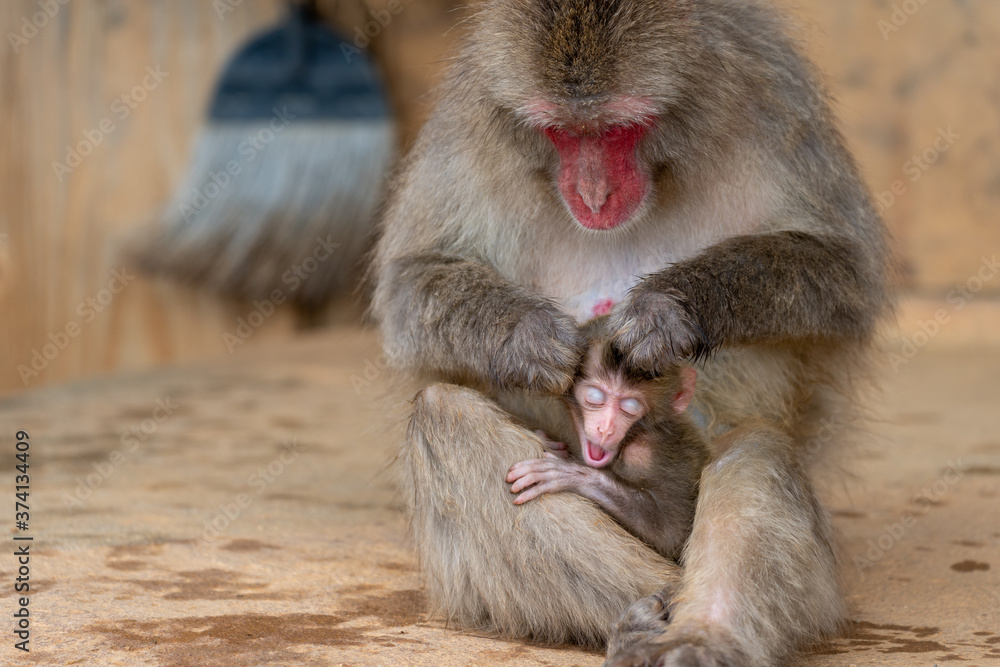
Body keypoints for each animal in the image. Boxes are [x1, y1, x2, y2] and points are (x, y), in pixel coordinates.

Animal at [506, 323, 710, 561]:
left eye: (630, 407)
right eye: (595, 397)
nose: (606, 429)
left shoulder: (646, 453)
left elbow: (671, 533)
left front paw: (570, 473)